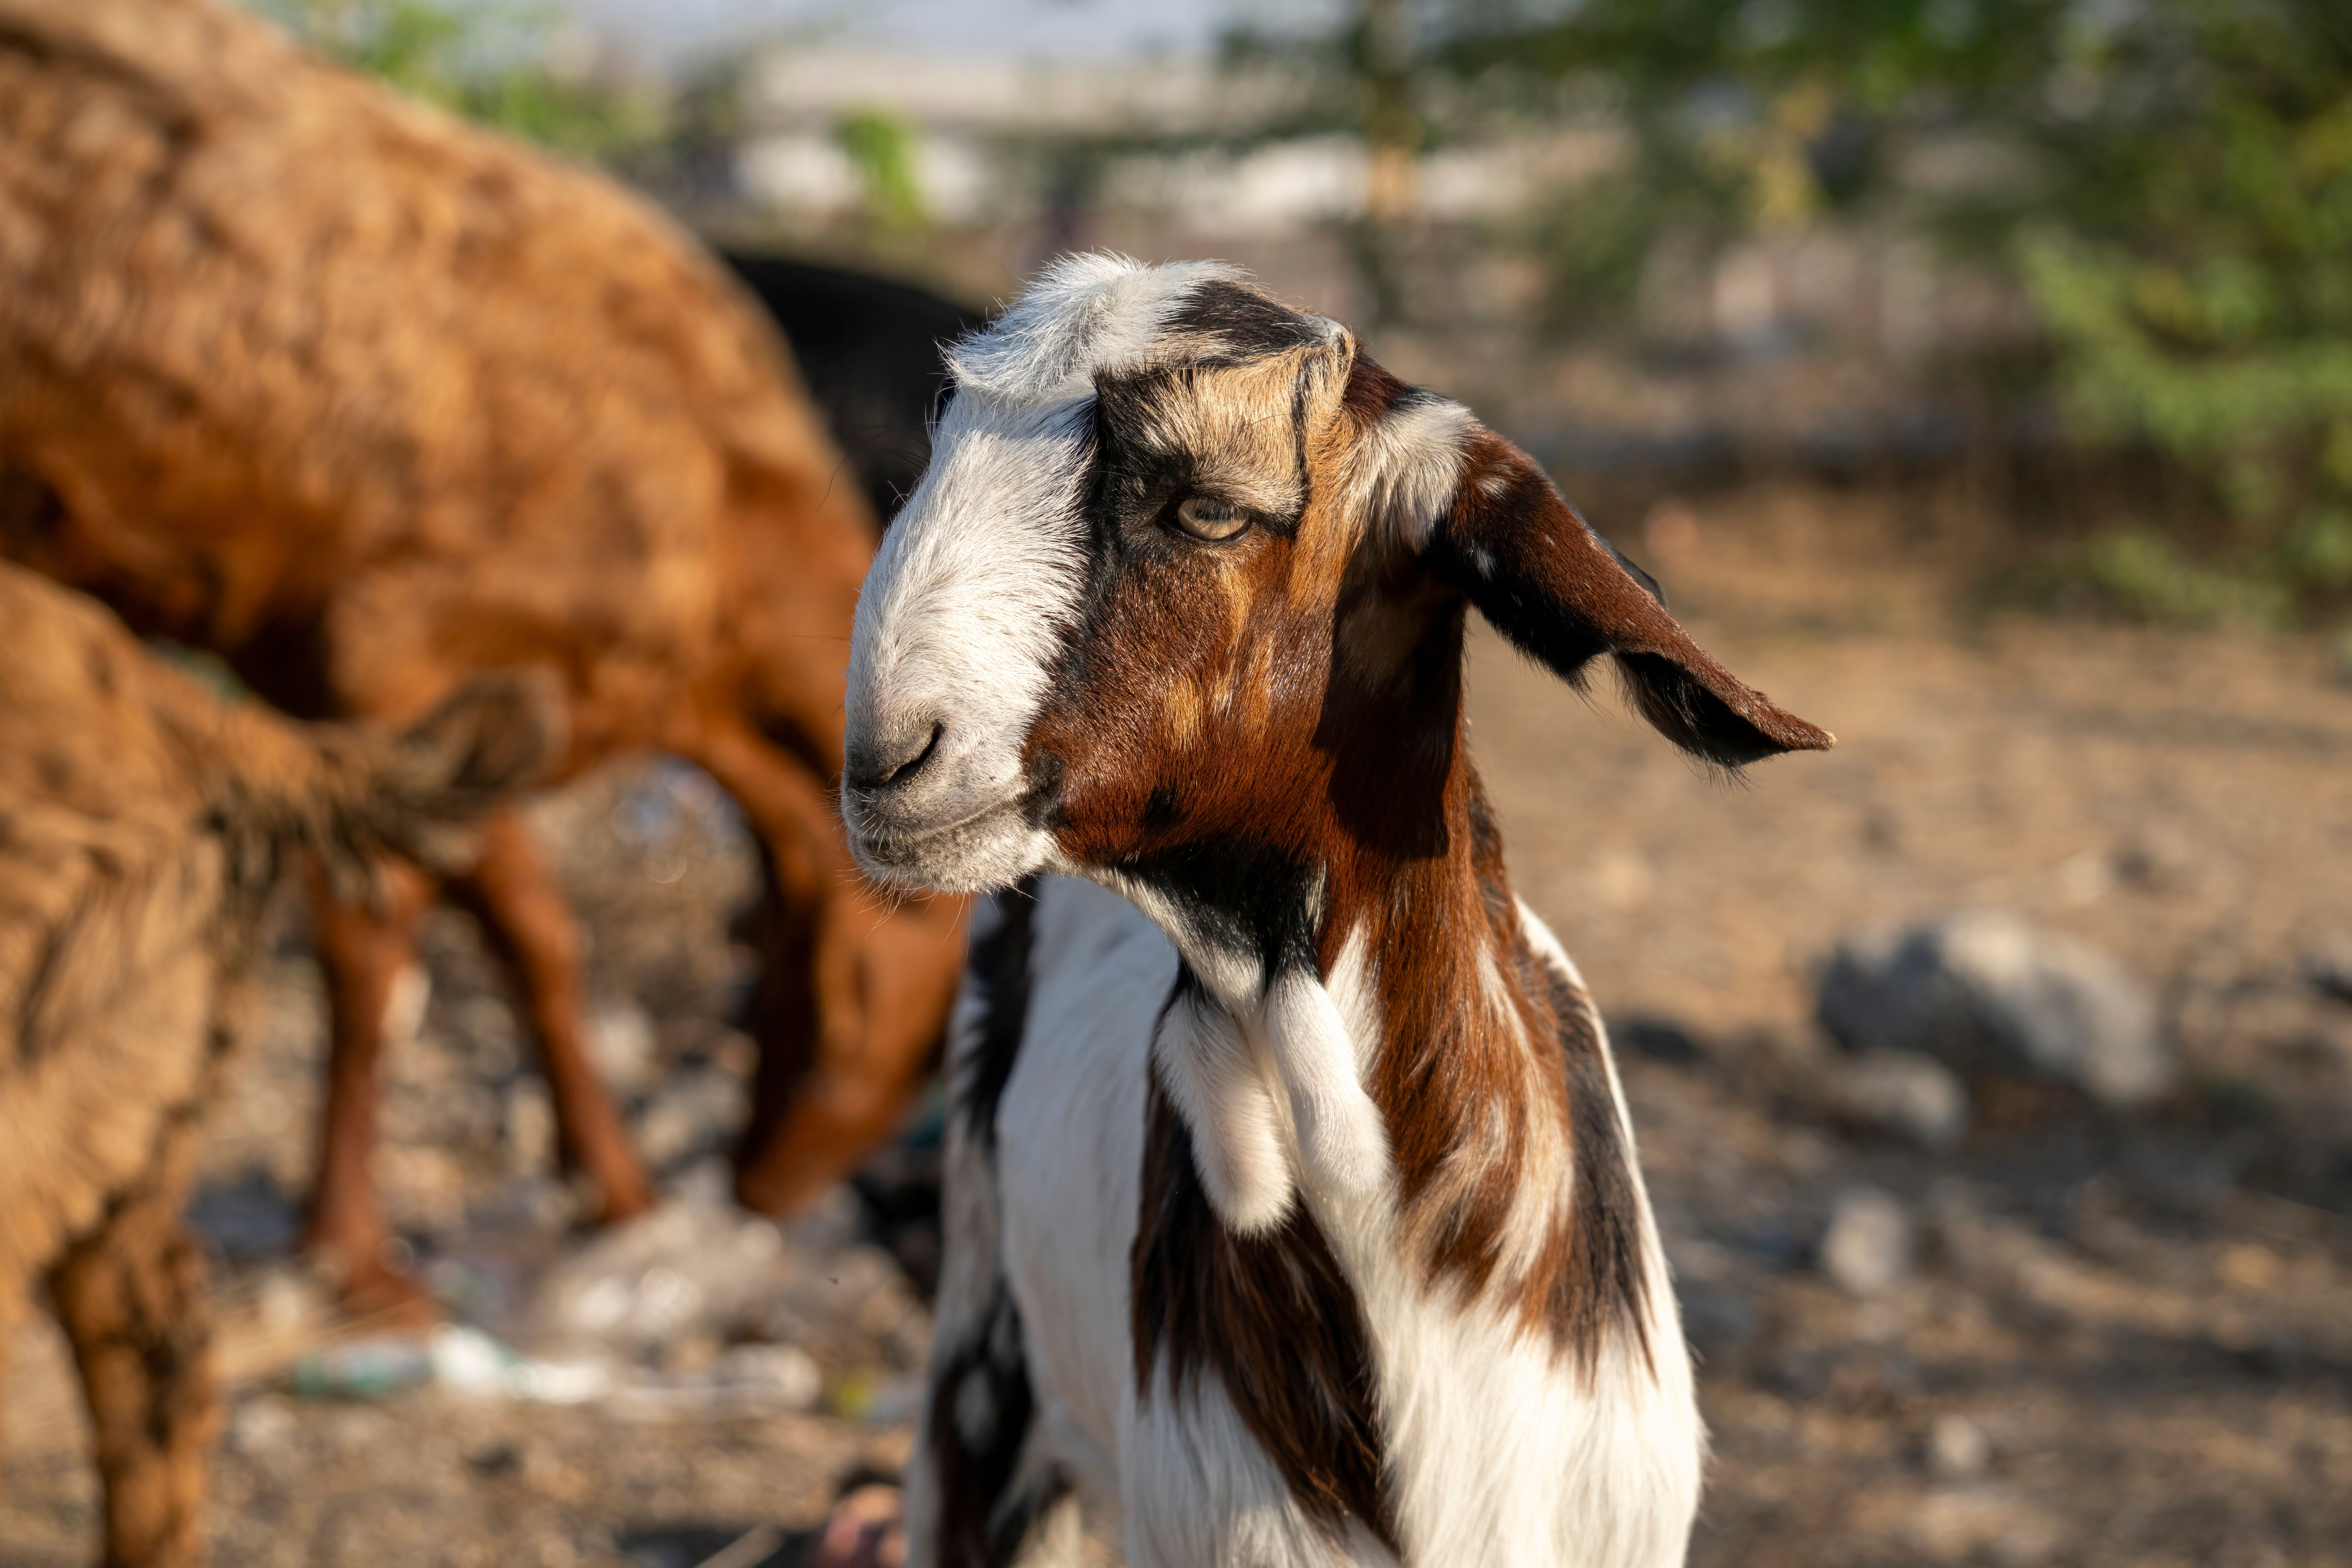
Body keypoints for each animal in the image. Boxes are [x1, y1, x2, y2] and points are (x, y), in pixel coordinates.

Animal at [0, 0, 966, 1306]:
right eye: (923, 1042)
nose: (767, 1190)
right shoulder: (377, 667)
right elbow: (377, 945)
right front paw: (351, 1250)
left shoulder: (470, 700)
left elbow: (535, 934)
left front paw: (614, 1190)